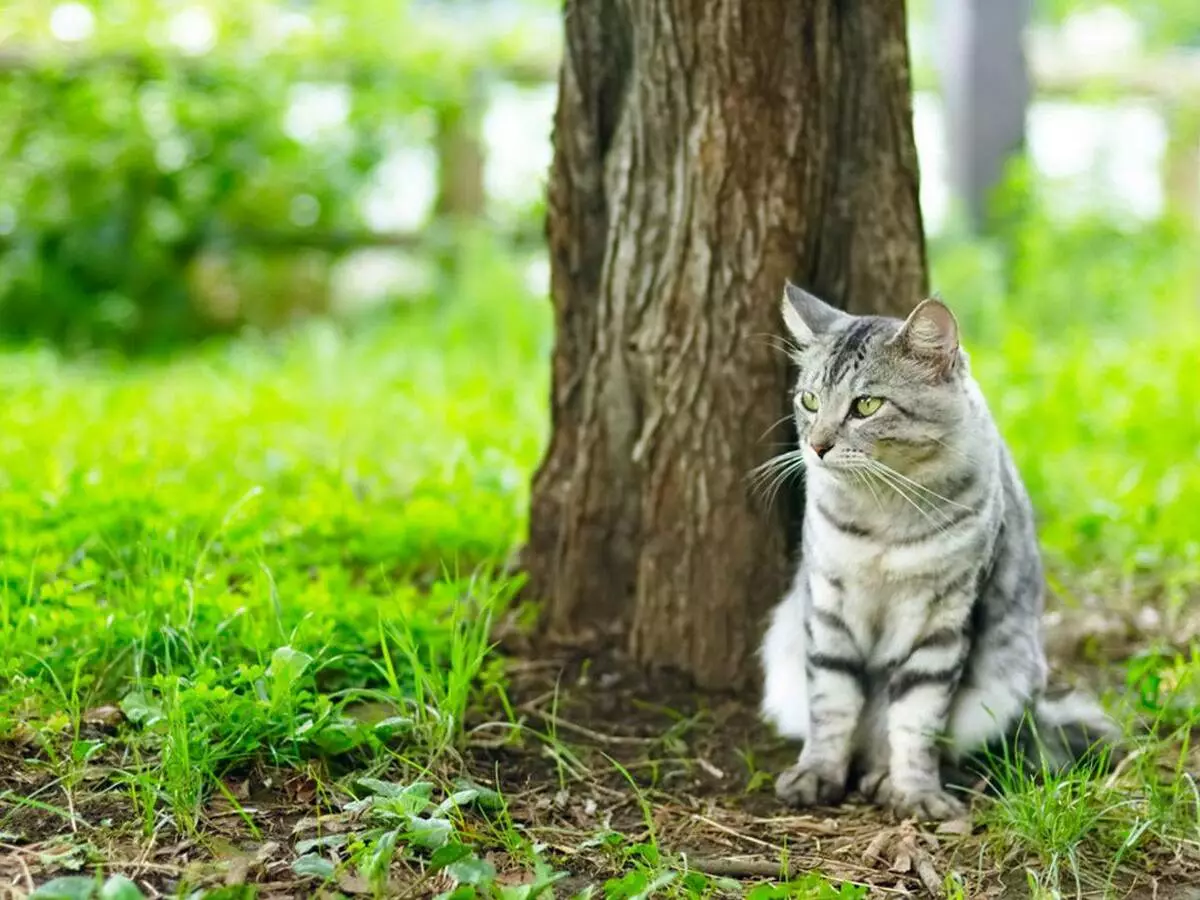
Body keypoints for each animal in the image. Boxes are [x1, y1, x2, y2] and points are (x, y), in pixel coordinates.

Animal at [758, 285, 1113, 820]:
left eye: (866, 405)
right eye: (810, 400)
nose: (816, 445)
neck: (883, 519)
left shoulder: (941, 620)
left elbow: (915, 719)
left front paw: (915, 793)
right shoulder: (830, 608)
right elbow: (832, 707)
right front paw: (817, 775)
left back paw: (885, 777)